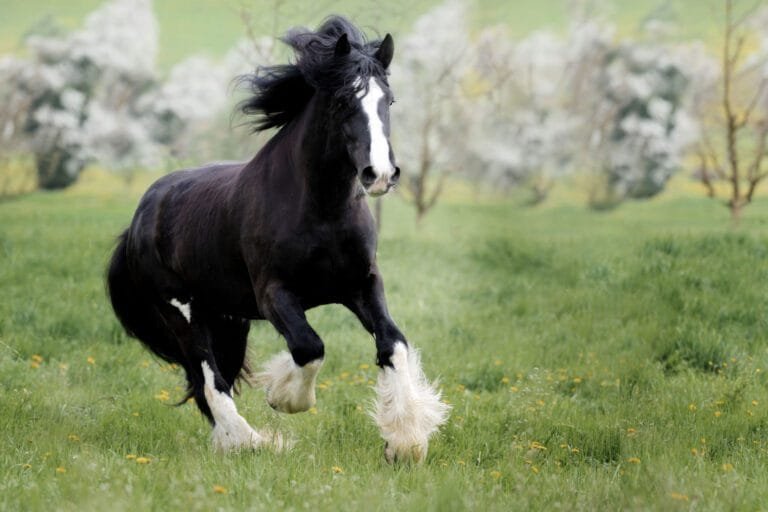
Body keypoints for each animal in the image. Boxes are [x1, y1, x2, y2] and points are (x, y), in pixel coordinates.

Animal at [106, 16, 449, 463]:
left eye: (388, 101)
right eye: (343, 101)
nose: (380, 175)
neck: (321, 212)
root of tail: (141, 216)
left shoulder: (362, 283)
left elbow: (393, 344)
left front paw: (405, 441)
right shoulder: (273, 293)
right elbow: (308, 346)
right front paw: (284, 397)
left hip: (227, 317)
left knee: (209, 379)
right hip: (182, 310)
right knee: (209, 376)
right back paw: (250, 441)